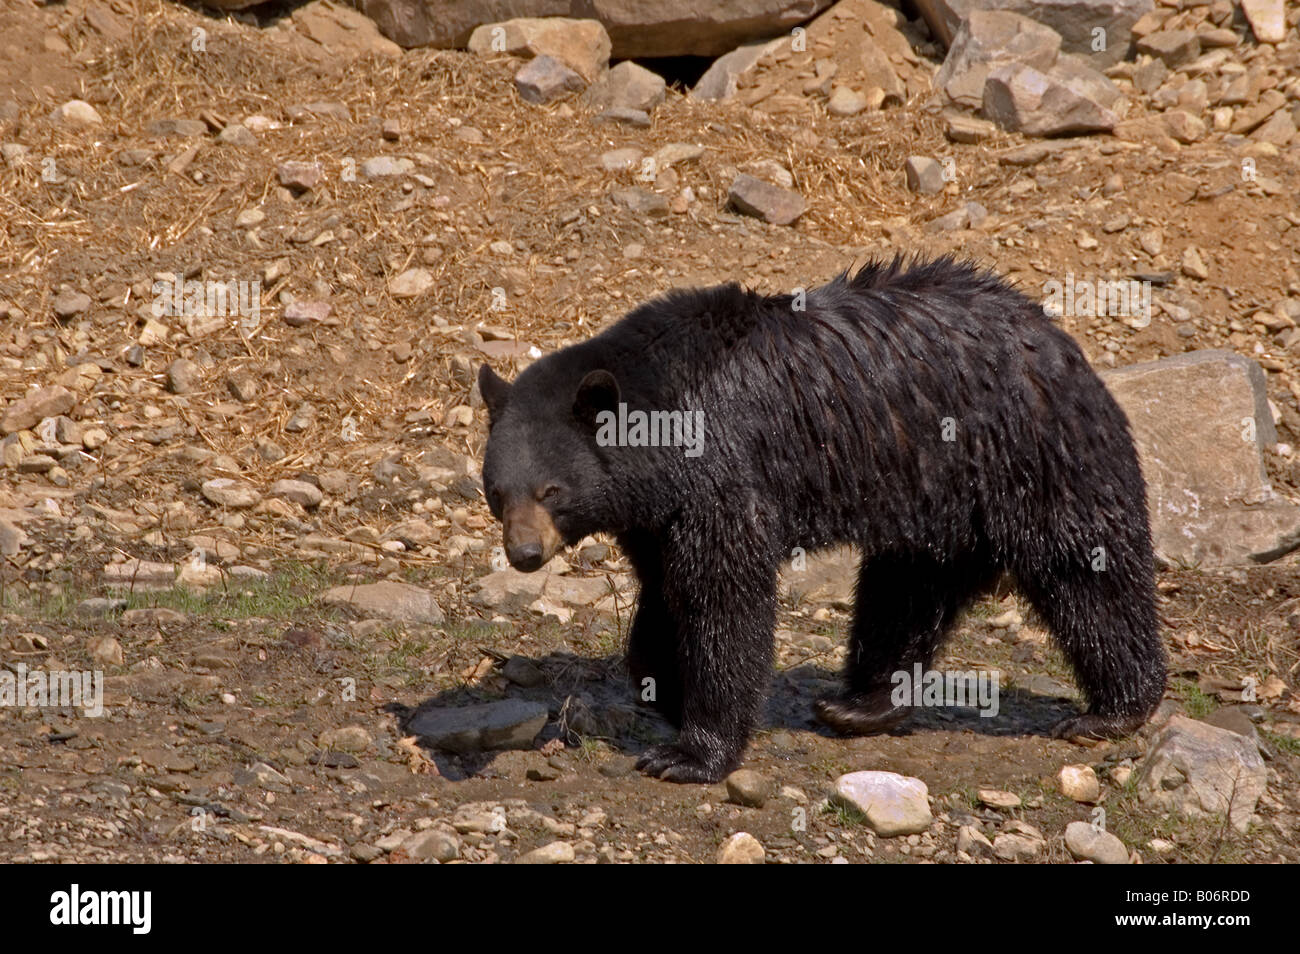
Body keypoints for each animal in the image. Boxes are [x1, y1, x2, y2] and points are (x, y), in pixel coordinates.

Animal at [477, 255, 1166, 783]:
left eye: (552, 489)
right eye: (496, 491)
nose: (524, 554)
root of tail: (1059, 338)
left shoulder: (722, 473)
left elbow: (725, 598)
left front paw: (693, 752)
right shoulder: (655, 513)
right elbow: (664, 593)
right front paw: (666, 687)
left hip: (1034, 452)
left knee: (1085, 569)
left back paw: (1116, 707)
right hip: (934, 500)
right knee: (906, 591)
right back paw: (864, 704)